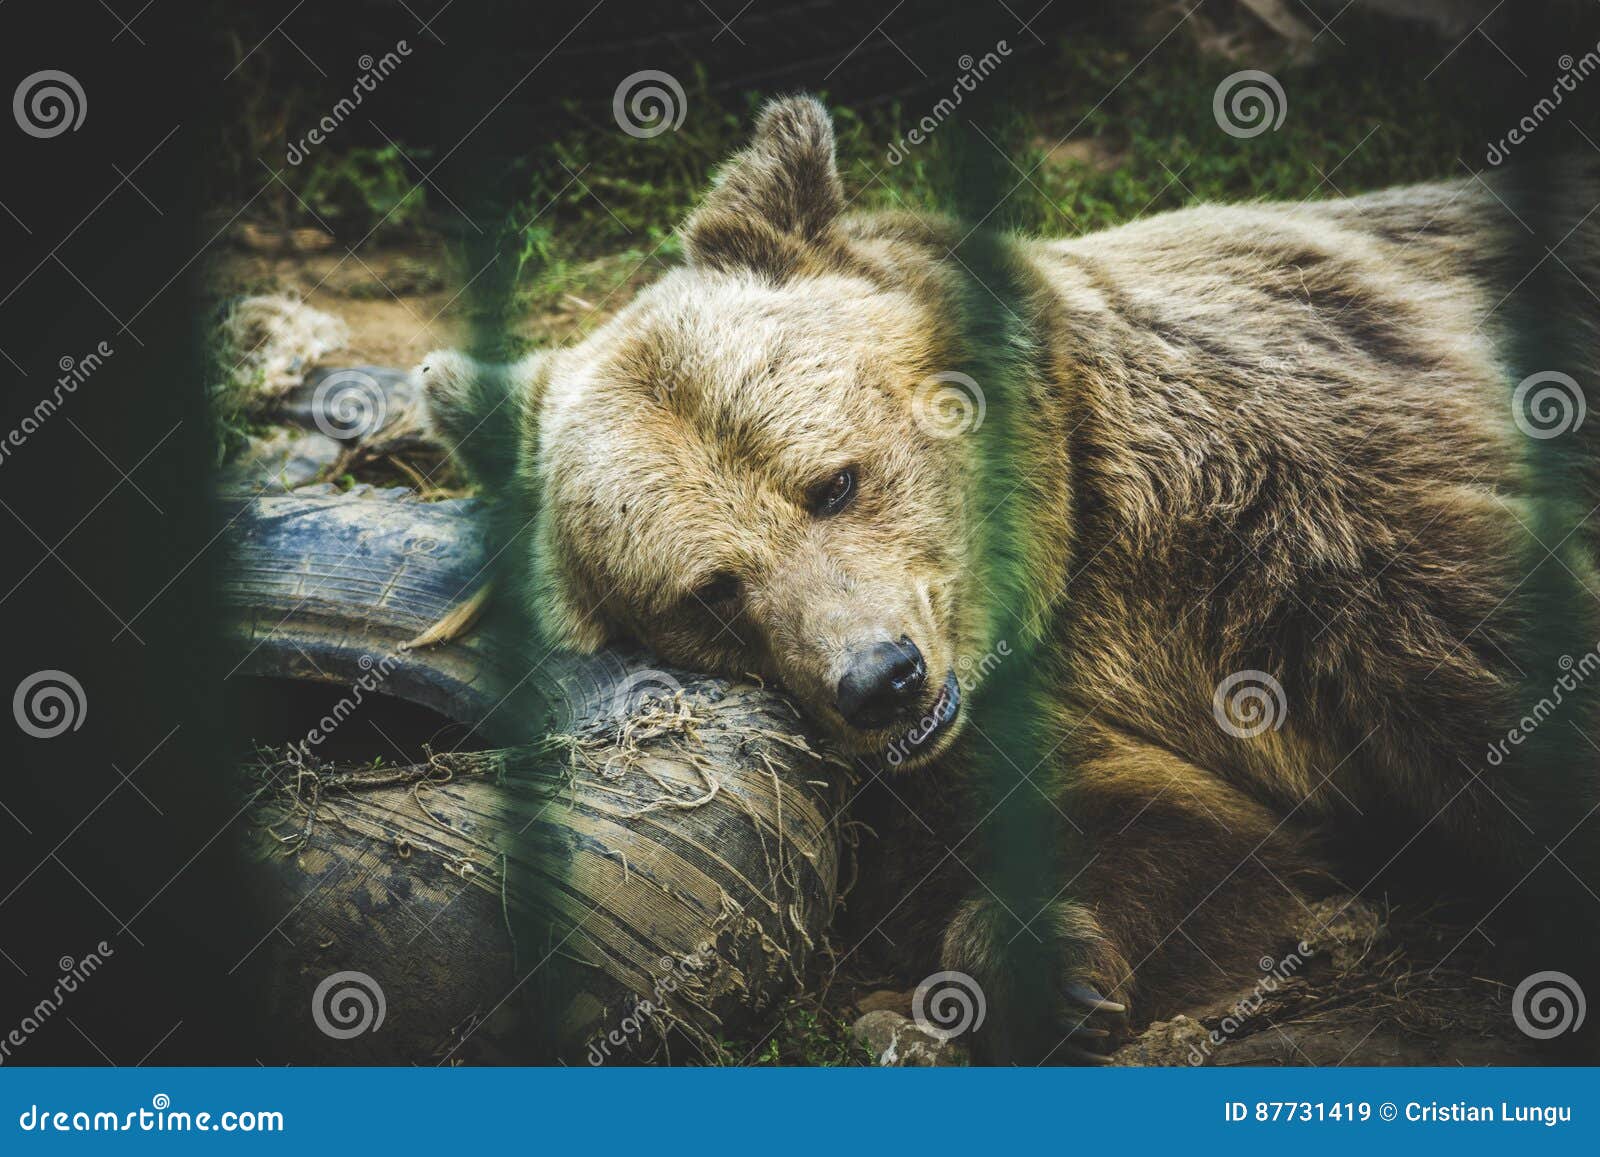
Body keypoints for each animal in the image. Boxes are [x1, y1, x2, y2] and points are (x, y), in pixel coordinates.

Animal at [419, 95, 1600, 1063]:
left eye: (832, 482)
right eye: (709, 589)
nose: (879, 679)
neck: (1079, 545)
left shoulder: (1315, 500)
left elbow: (1495, 671)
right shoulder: (1012, 718)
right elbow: (1160, 826)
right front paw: (1050, 972)